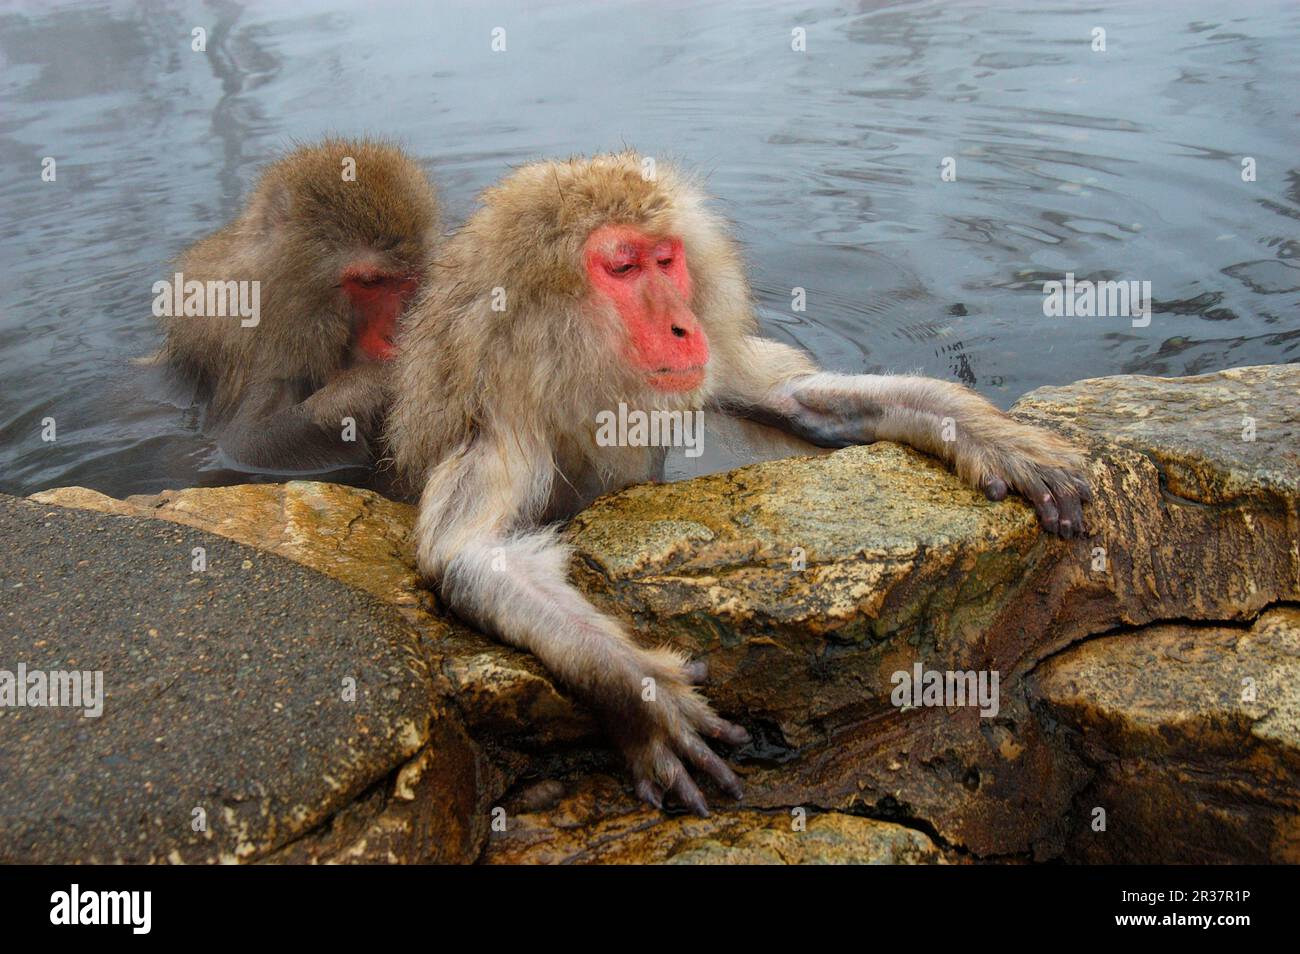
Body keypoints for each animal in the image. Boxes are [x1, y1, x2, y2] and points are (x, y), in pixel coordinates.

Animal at [155, 138, 439, 471]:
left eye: (409, 281)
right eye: (371, 282)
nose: (397, 334)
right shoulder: (261, 355)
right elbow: (242, 445)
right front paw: (370, 385)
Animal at [387, 153, 1091, 816]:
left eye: (665, 260)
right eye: (623, 268)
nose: (682, 326)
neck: (577, 366)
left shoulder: (703, 365)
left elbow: (801, 401)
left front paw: (991, 437)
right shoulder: (505, 422)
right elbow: (468, 555)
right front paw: (634, 688)